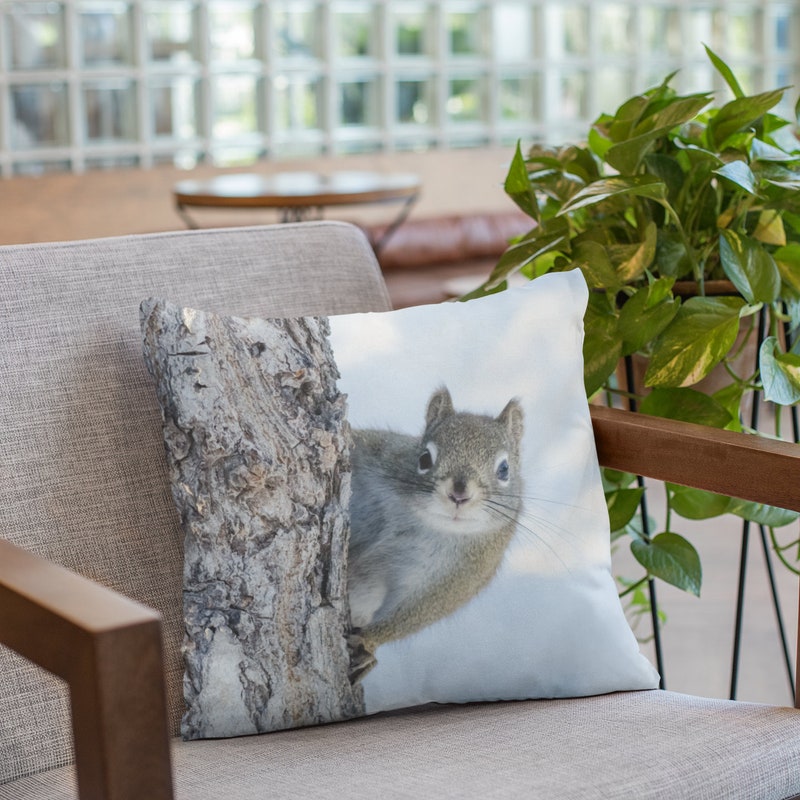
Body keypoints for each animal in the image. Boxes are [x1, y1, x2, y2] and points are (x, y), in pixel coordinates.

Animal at [346, 386, 524, 680]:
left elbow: (417, 610)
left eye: (504, 469)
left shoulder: (460, 574)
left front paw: (369, 641)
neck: (426, 522)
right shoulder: (380, 454)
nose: (459, 494)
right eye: (424, 458)